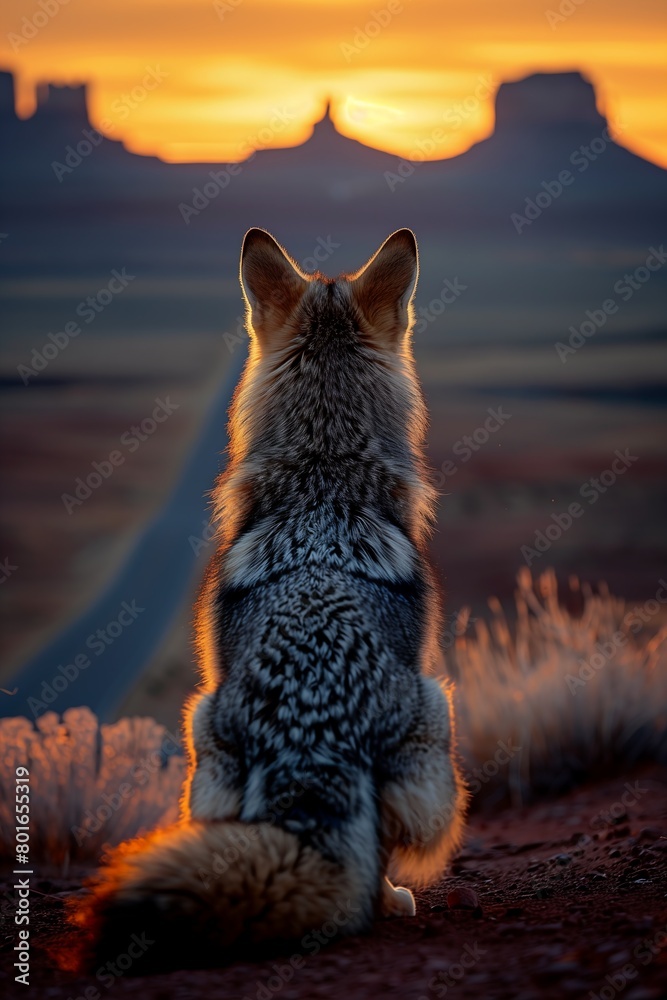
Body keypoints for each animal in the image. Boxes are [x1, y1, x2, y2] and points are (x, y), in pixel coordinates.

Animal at [70, 228, 468, 971]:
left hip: (202, 728)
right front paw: (392, 896)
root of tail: (310, 750)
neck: (322, 473)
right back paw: (386, 900)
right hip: (436, 706)